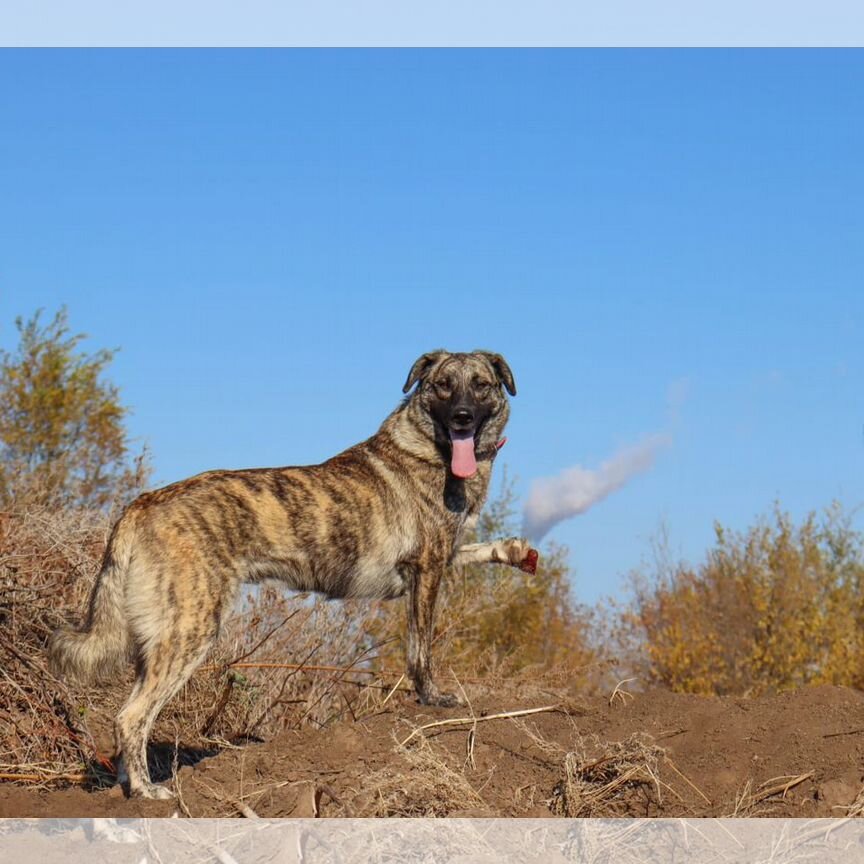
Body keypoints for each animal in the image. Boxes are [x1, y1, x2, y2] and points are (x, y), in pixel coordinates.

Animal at [50, 350, 536, 796]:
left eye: (481, 385)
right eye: (442, 386)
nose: (462, 418)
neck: (429, 449)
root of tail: (142, 503)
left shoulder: (441, 558)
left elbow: (479, 550)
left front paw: (516, 551)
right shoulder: (428, 568)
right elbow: (421, 653)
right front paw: (433, 699)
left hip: (155, 643)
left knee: (128, 715)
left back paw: (125, 785)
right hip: (190, 631)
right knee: (131, 717)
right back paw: (146, 791)